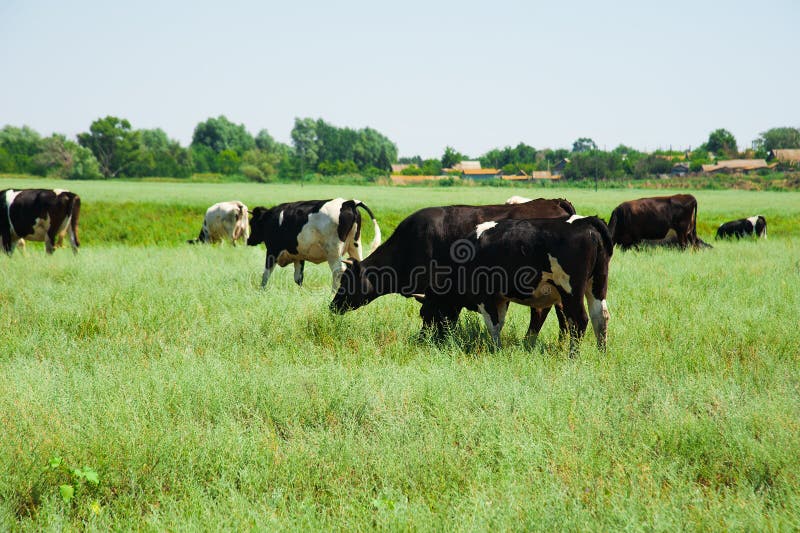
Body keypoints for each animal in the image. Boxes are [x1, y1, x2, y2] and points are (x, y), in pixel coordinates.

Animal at [247, 198, 381, 290]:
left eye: (252, 223)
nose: (248, 240)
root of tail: (348, 202)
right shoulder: (298, 255)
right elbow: (298, 277)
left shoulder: (272, 250)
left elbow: (266, 274)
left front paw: (261, 290)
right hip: (355, 245)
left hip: (333, 250)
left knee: (338, 270)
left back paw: (333, 292)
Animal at [329, 198, 577, 342]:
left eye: (346, 282)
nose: (333, 306)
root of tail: (555, 202)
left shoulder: (442, 293)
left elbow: (442, 317)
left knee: (543, 313)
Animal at [416, 216, 613, 356]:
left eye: (425, 313)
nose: (422, 340)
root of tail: (585, 221)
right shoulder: (501, 298)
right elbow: (500, 322)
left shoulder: (484, 297)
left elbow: (493, 325)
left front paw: (496, 350)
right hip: (597, 285)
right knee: (600, 317)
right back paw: (601, 354)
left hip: (570, 290)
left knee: (579, 321)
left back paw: (573, 357)